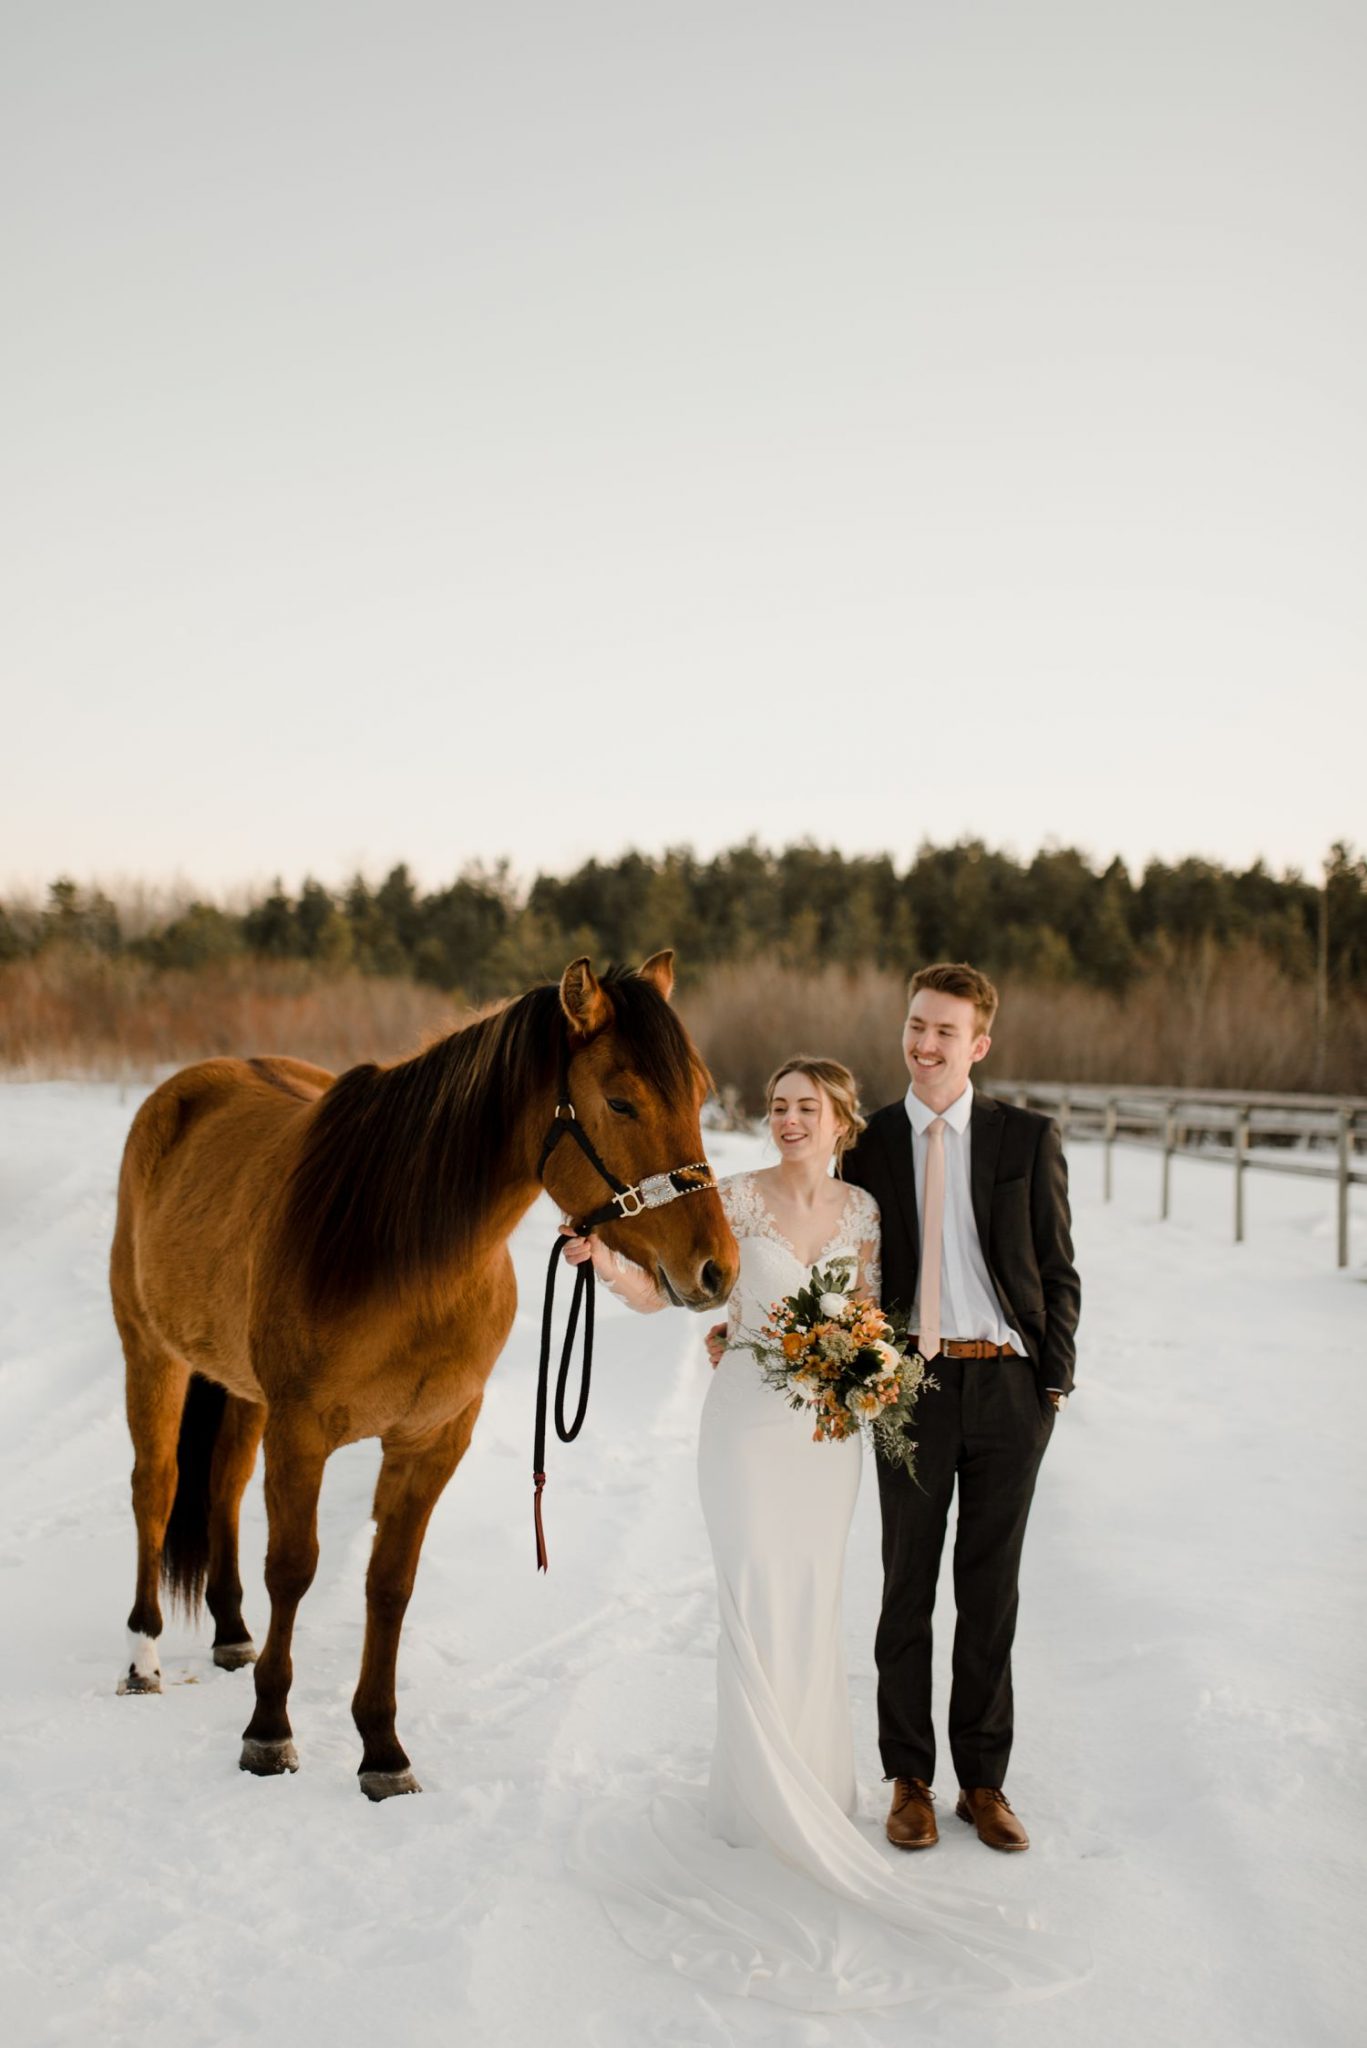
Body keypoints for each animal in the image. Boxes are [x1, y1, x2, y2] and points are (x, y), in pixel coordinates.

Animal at [109, 951, 737, 1798]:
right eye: (619, 1099)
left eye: (699, 1095)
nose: (716, 1268)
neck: (402, 1252)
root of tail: (182, 1091)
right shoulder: (301, 1433)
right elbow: (294, 1570)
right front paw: (268, 1732)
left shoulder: (432, 1439)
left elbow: (390, 1584)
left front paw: (382, 1749)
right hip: (152, 1353)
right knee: (157, 1486)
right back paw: (142, 1657)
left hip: (242, 1391)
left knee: (222, 1486)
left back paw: (233, 1633)